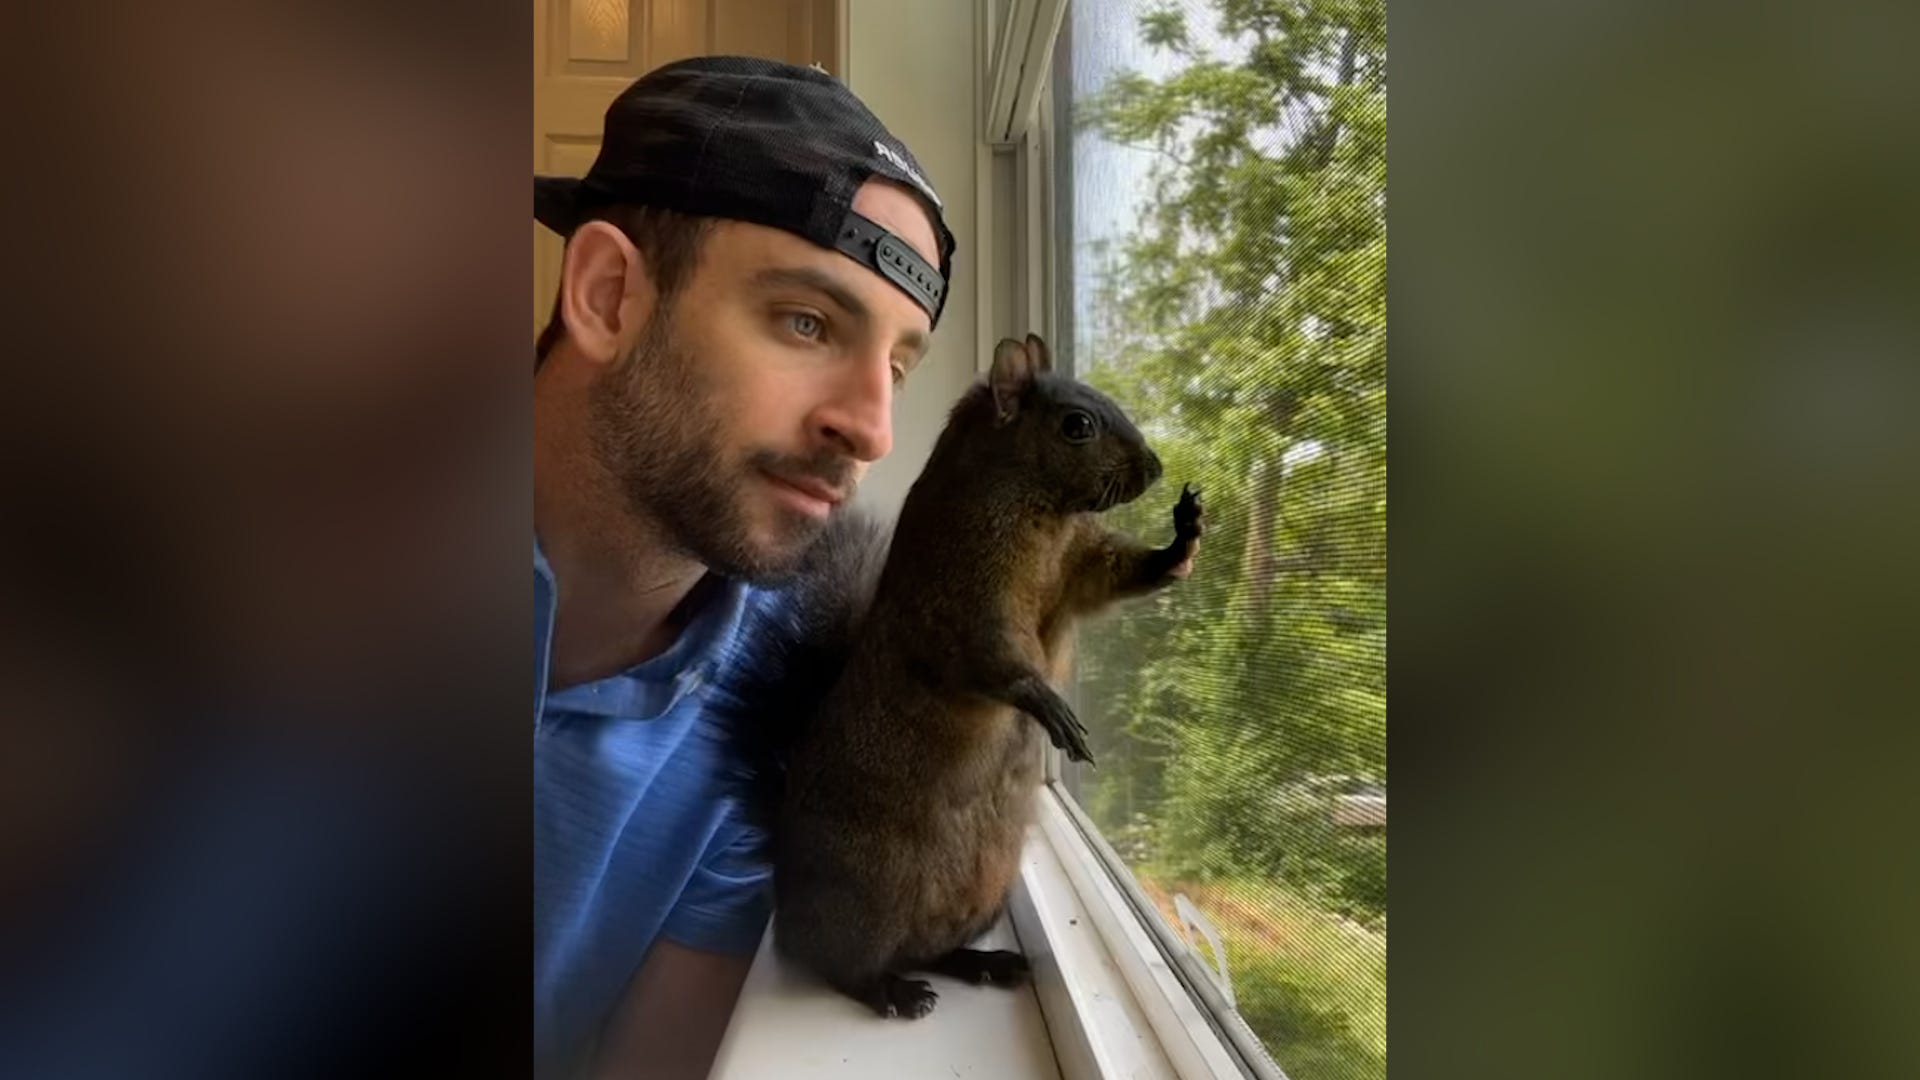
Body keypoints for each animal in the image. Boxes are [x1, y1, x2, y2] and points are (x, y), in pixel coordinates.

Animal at [719, 332, 1203, 1020]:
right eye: (1077, 425)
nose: (1156, 468)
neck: (1040, 512)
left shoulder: (1079, 566)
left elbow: (1115, 573)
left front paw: (1182, 538)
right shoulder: (963, 600)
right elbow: (991, 659)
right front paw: (1048, 706)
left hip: (980, 898)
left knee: (932, 951)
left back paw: (985, 964)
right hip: (867, 899)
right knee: (846, 967)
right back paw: (894, 992)